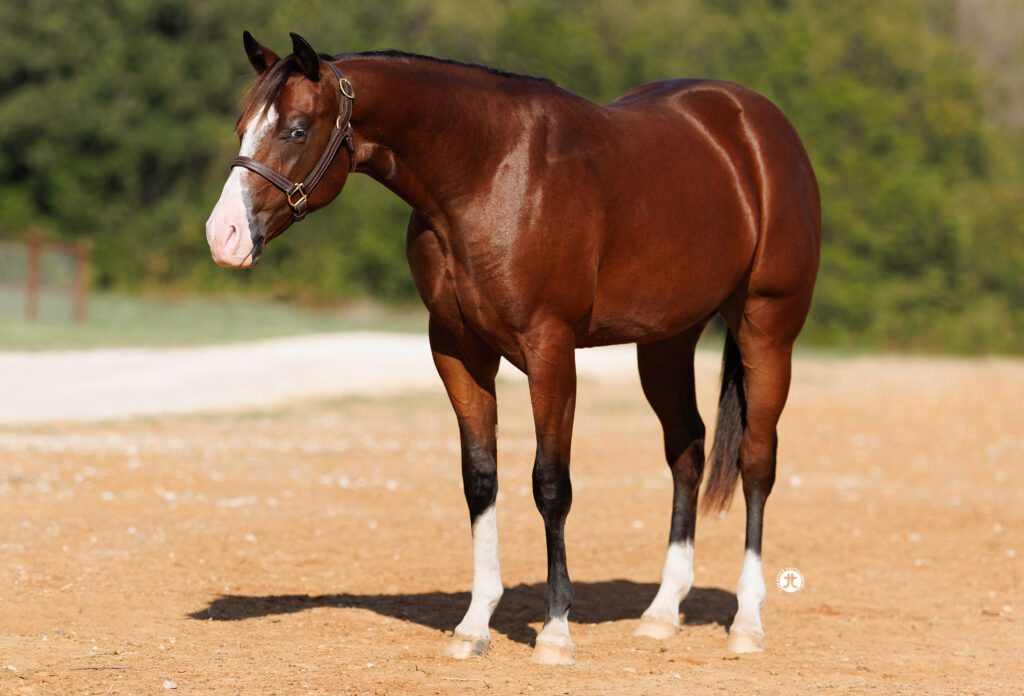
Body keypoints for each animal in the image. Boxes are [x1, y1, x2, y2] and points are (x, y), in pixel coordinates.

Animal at [206, 32, 820, 665]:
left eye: (296, 129)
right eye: (242, 126)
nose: (224, 236)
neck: (487, 176)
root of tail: (756, 125)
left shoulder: (550, 350)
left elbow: (551, 485)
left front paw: (555, 631)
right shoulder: (457, 350)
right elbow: (481, 478)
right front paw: (475, 623)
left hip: (767, 328)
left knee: (756, 462)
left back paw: (746, 621)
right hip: (666, 342)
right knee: (687, 452)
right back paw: (661, 612)